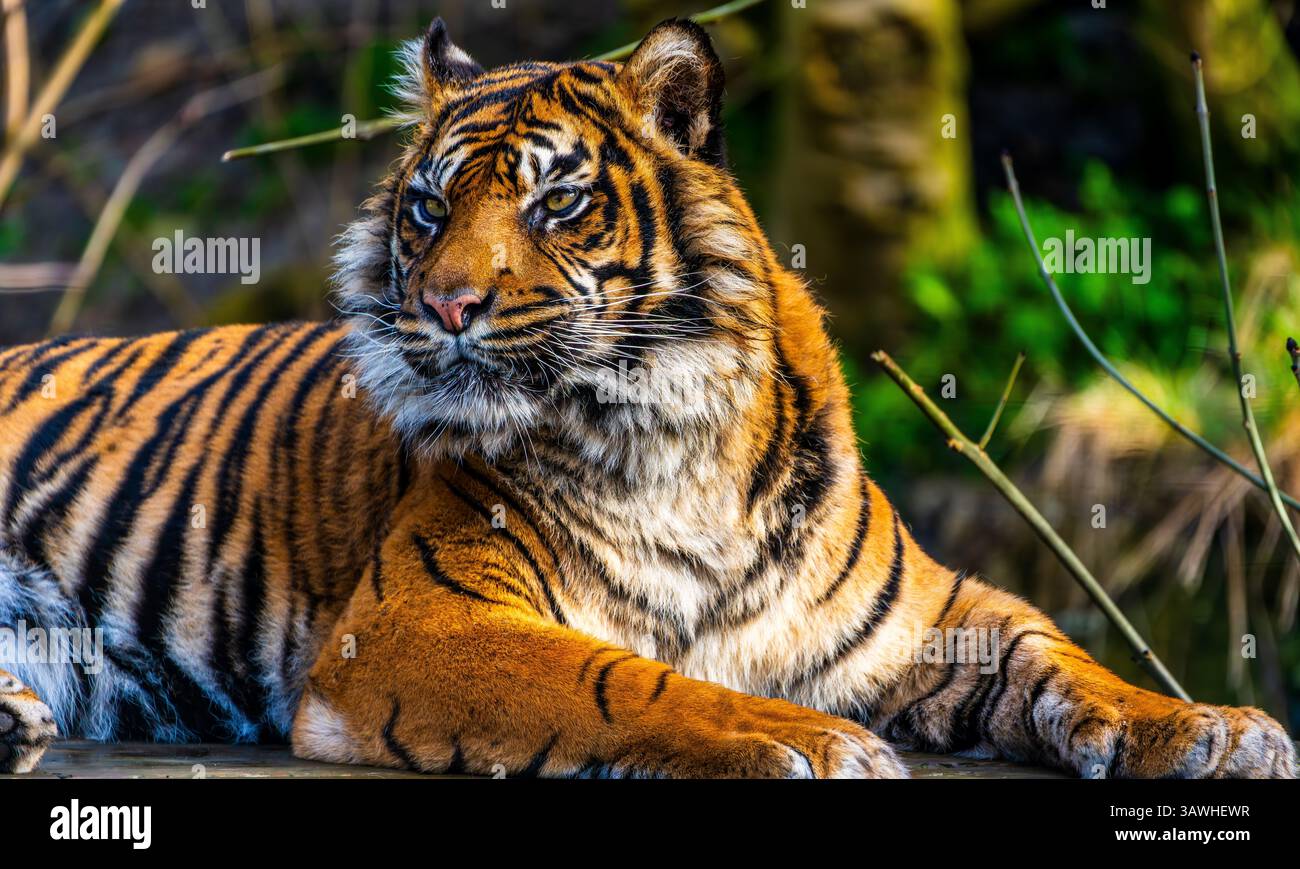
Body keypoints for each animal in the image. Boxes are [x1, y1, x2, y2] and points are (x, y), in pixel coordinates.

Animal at [0, 17, 1294, 779]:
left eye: (554, 202)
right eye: (428, 206)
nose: (445, 304)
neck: (676, 440)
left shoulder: (929, 610)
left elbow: (1057, 652)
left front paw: (1211, 726)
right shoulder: (419, 619)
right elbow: (618, 675)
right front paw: (798, 736)